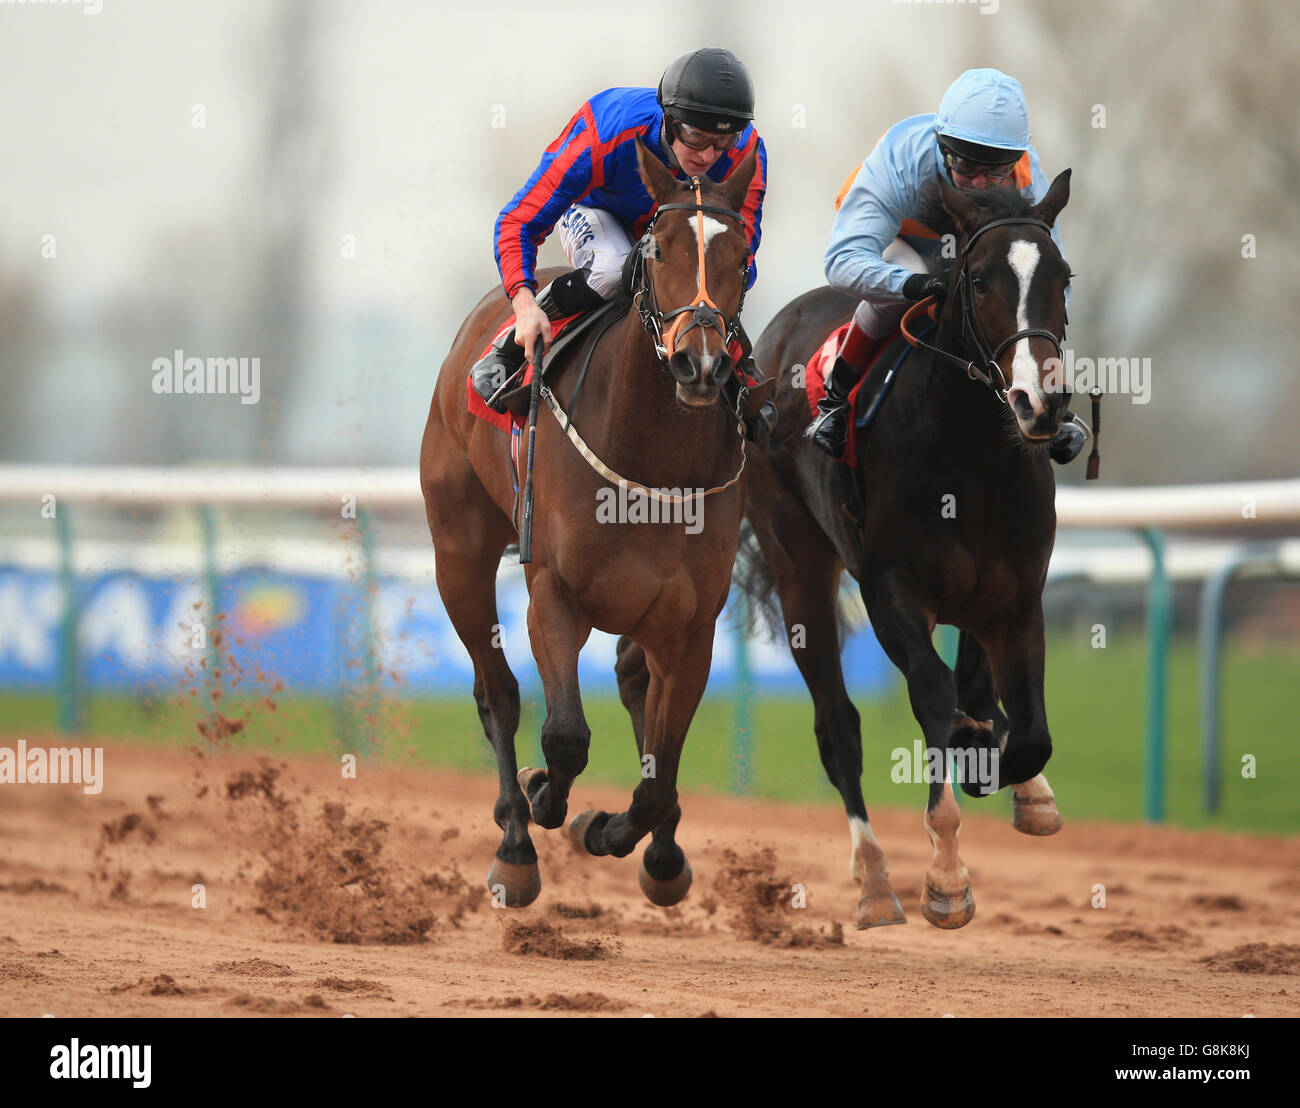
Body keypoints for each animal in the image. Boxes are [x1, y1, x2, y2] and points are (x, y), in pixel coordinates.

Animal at [419, 139, 760, 909]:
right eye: (659, 250)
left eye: (738, 253)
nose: (700, 363)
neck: (651, 458)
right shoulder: (554, 591)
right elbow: (565, 737)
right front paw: (544, 798)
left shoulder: (692, 624)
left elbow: (660, 775)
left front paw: (618, 833)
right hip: (458, 551)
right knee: (497, 692)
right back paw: (516, 841)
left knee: (635, 687)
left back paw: (656, 849)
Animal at [732, 172, 1074, 930]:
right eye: (977, 280)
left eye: (1062, 277)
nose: (1039, 403)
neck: (973, 463)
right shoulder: (891, 590)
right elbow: (934, 698)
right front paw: (946, 878)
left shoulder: (1019, 598)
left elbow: (1027, 732)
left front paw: (1022, 781)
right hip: (796, 559)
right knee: (837, 726)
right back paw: (874, 882)